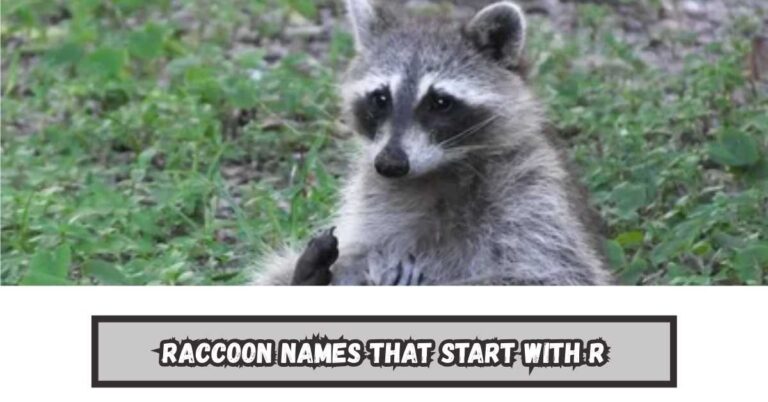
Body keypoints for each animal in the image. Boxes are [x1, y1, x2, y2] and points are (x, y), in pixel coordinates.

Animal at [252, 0, 612, 286]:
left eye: (440, 102)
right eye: (381, 98)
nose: (390, 164)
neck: (438, 171)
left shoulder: (533, 190)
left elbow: (553, 272)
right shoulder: (372, 201)